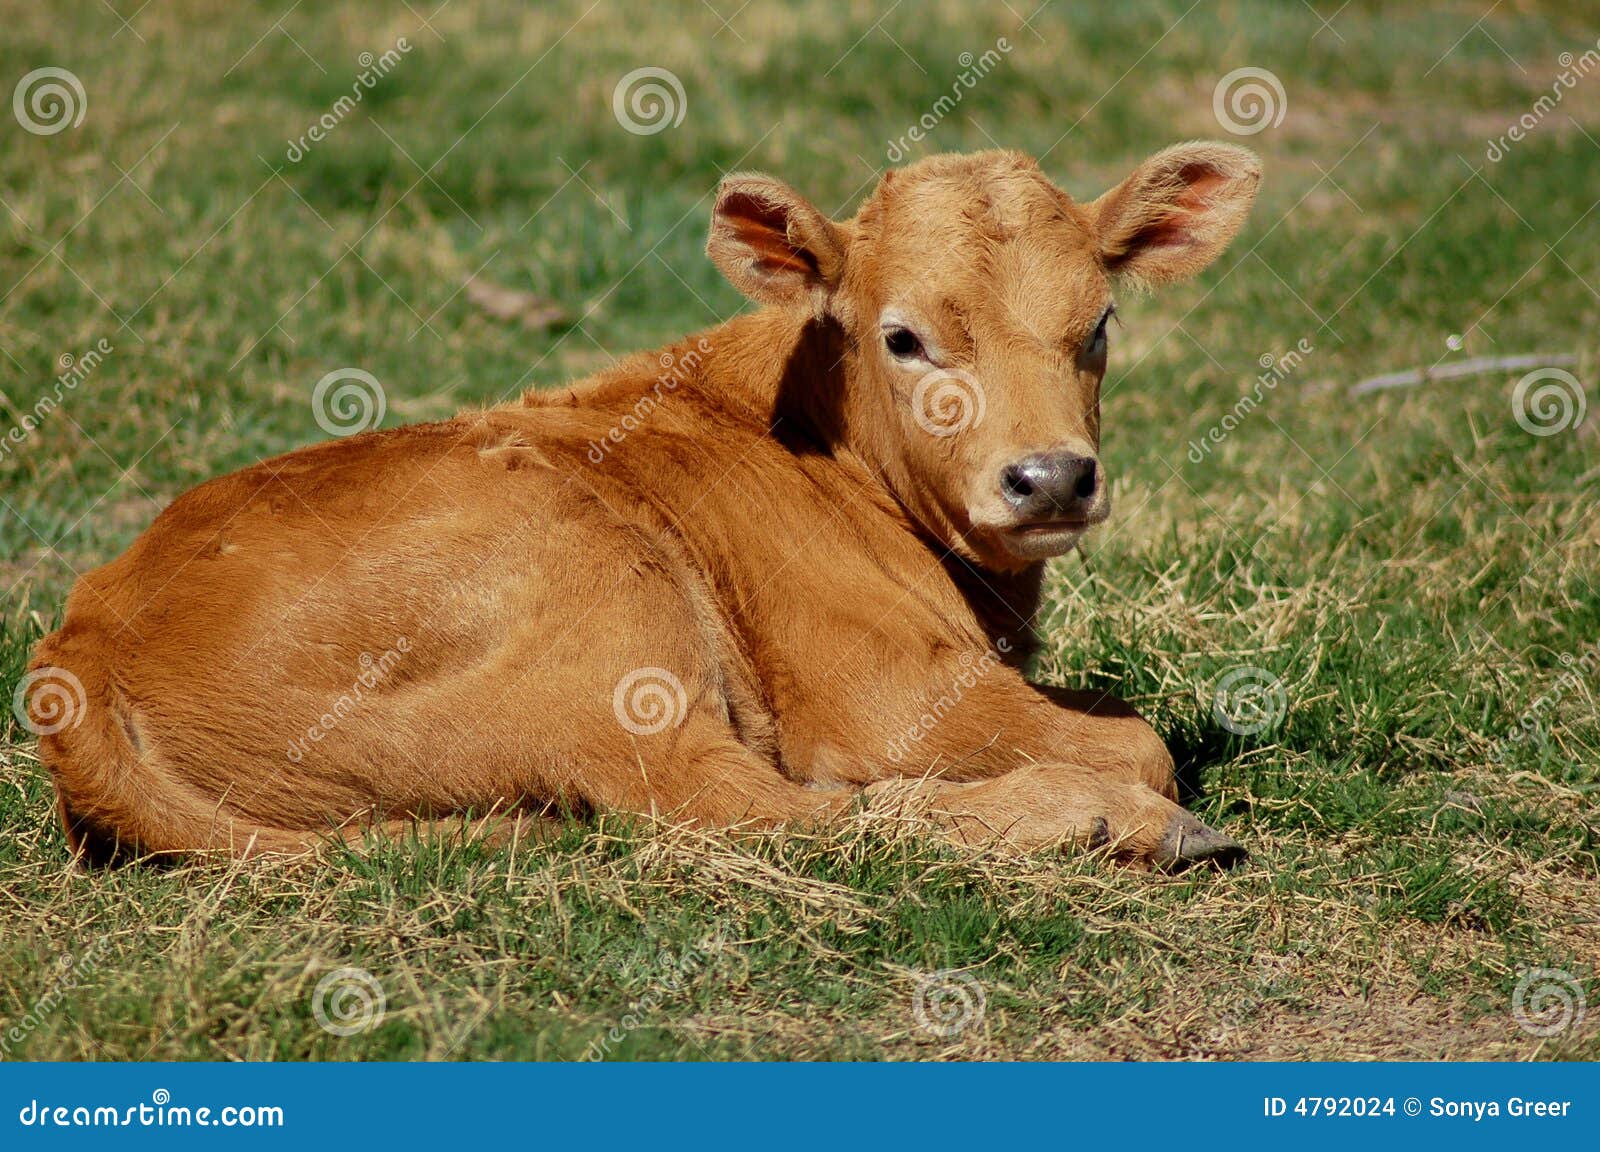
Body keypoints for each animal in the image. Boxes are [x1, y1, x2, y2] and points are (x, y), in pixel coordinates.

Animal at [27, 143, 1260, 868]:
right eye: (905, 337)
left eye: (1099, 323)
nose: (1050, 476)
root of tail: (89, 627)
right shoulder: (884, 694)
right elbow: (1139, 738)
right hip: (599, 602)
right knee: (737, 801)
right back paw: (1104, 821)